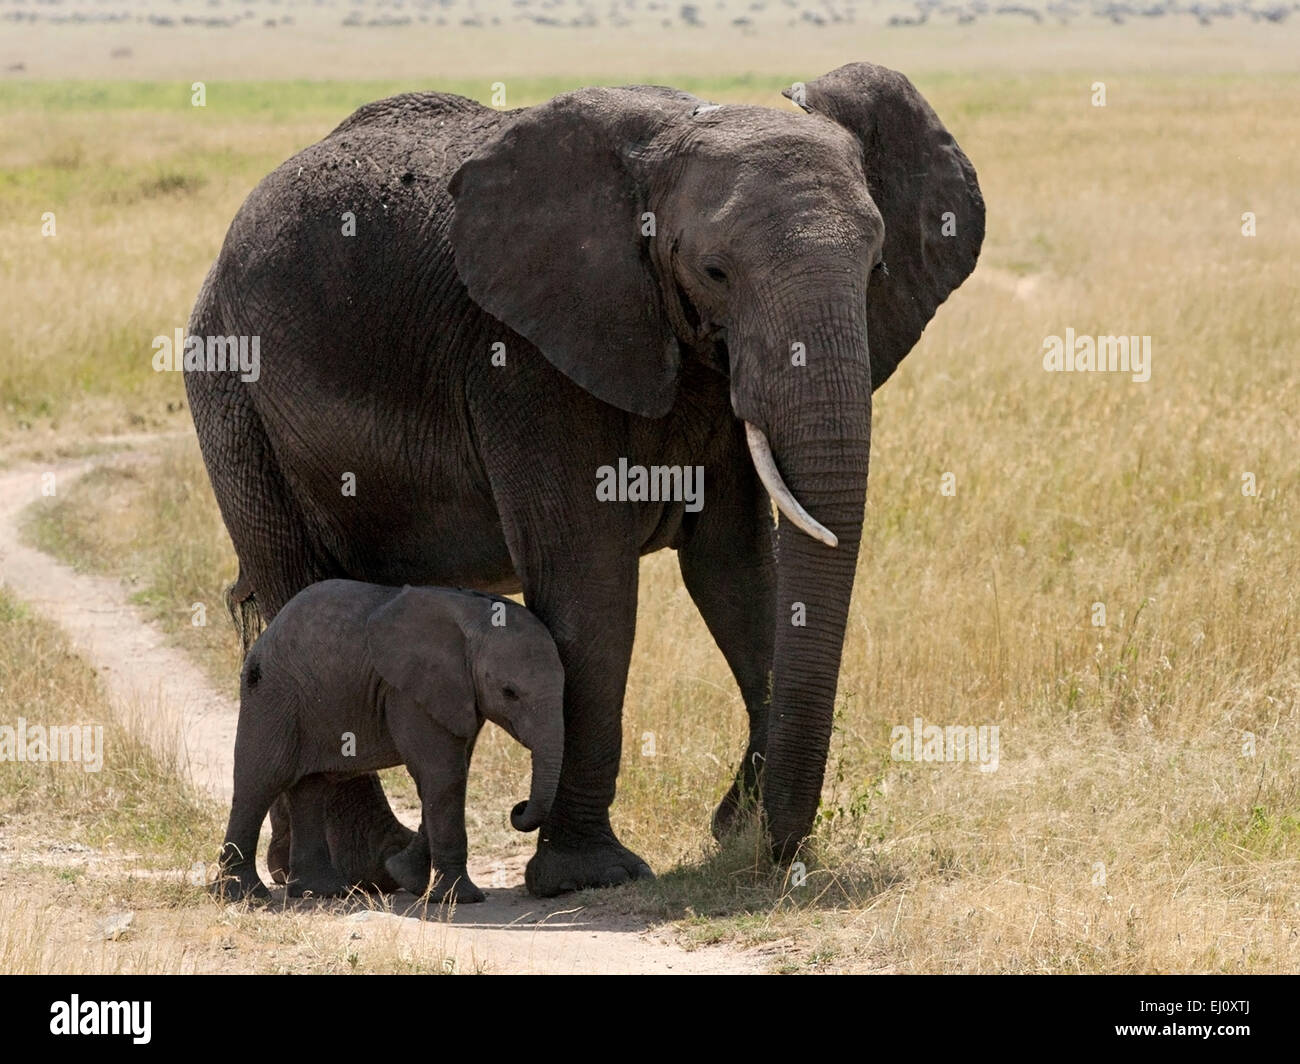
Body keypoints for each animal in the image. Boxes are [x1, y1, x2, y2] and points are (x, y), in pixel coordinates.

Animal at [211, 580, 565, 902]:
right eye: (509, 692)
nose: (518, 808)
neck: (474, 615)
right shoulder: (408, 691)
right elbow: (444, 775)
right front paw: (459, 899)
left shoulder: (460, 693)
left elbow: (451, 771)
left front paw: (404, 875)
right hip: (271, 694)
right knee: (260, 782)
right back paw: (244, 896)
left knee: (311, 789)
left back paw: (323, 892)